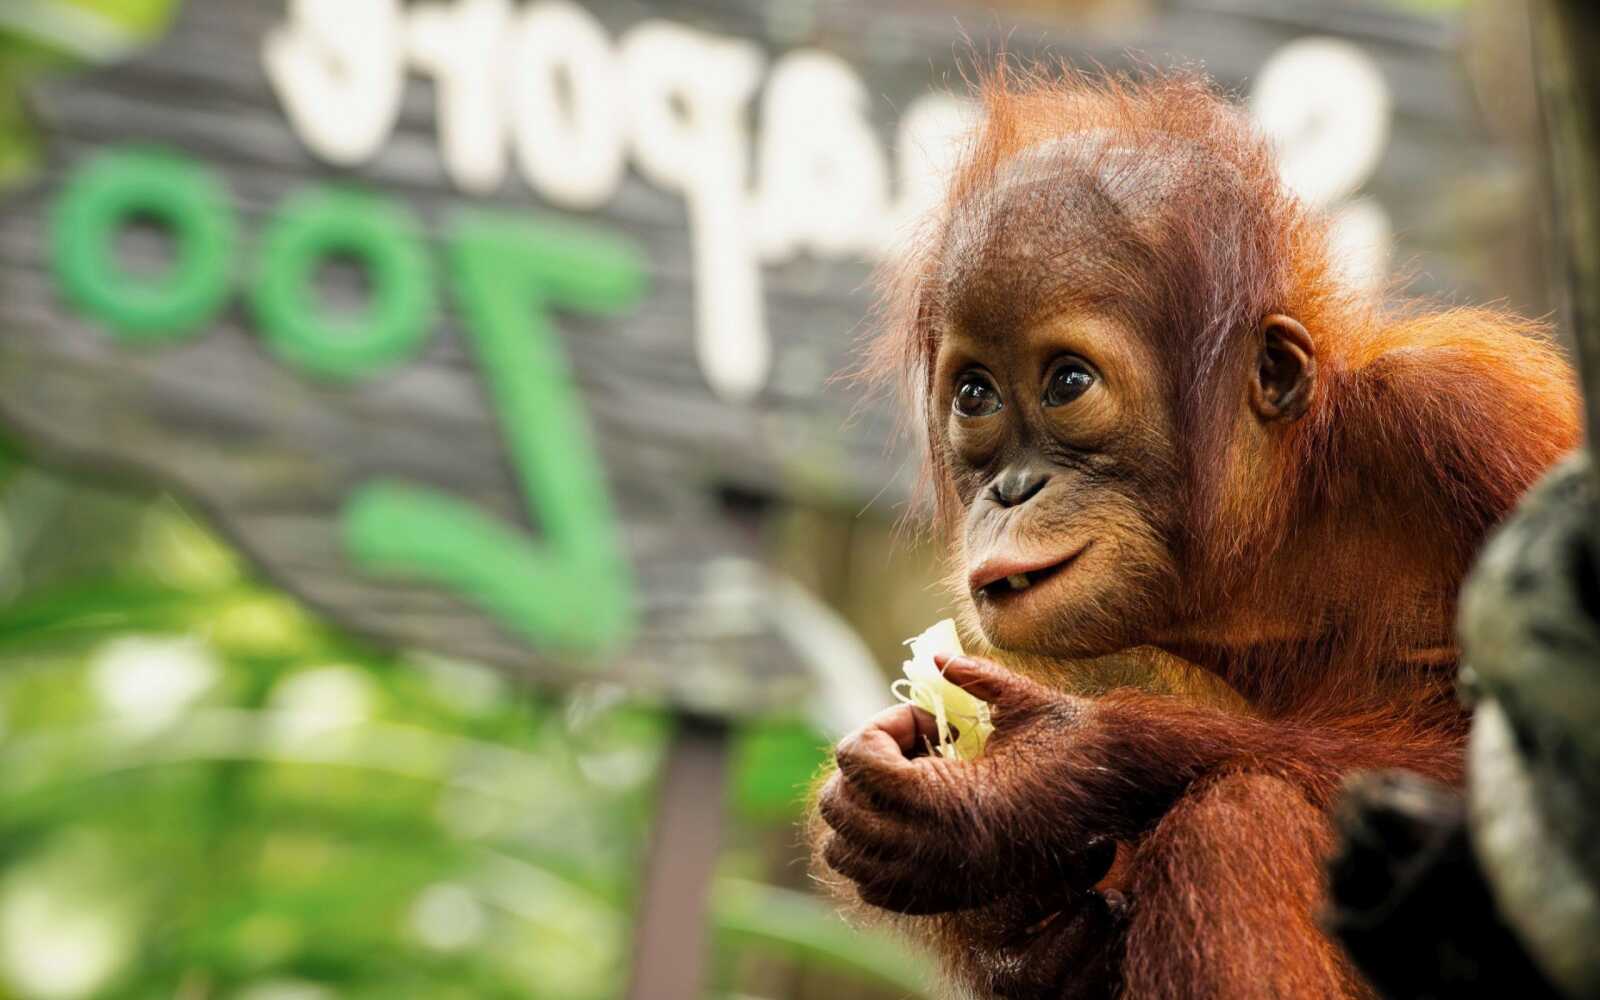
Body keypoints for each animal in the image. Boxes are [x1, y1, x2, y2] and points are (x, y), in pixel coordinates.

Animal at [811, 68, 1580, 999]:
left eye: (1068, 382)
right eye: (975, 395)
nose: (1012, 489)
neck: (1277, 525)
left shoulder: (1480, 419)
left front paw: (1037, 781)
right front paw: (1012, 926)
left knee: (1239, 816)